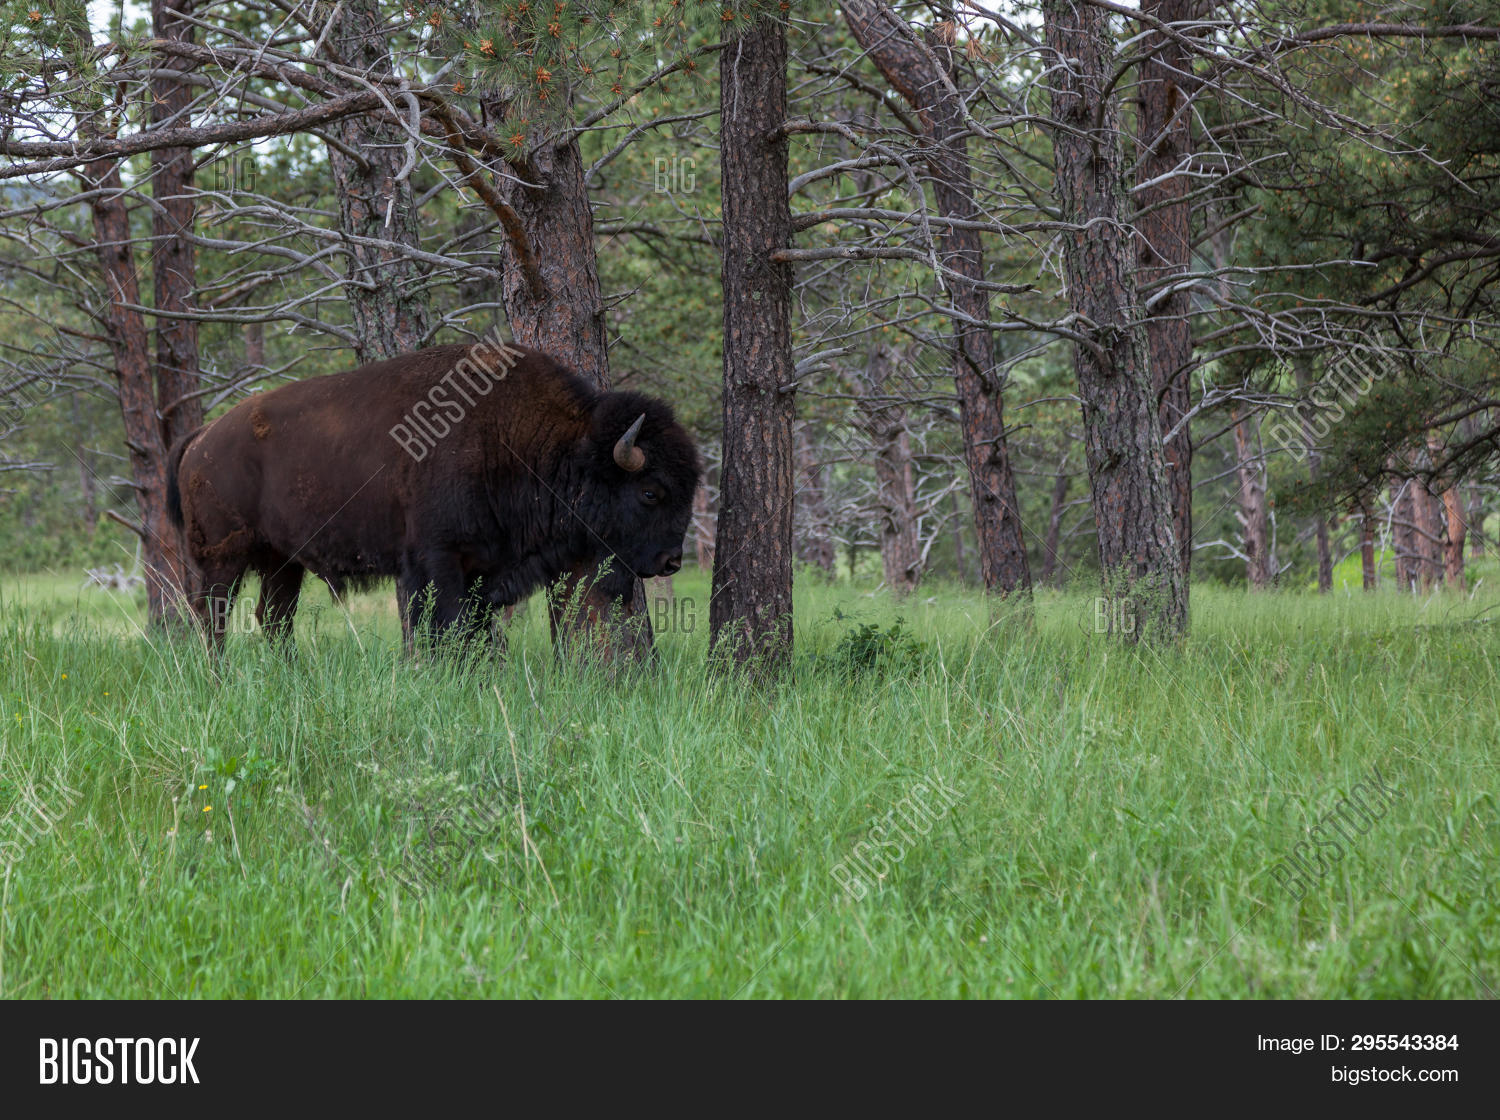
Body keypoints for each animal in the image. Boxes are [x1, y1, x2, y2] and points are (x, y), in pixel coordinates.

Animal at [166, 339, 700, 652]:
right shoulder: (438, 559)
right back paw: (218, 682)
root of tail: (203, 437)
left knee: (274, 619)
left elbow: (478, 633)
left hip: (283, 562)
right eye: (651, 491)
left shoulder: (486, 569)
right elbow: (446, 627)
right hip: (223, 557)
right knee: (213, 617)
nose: (671, 560)